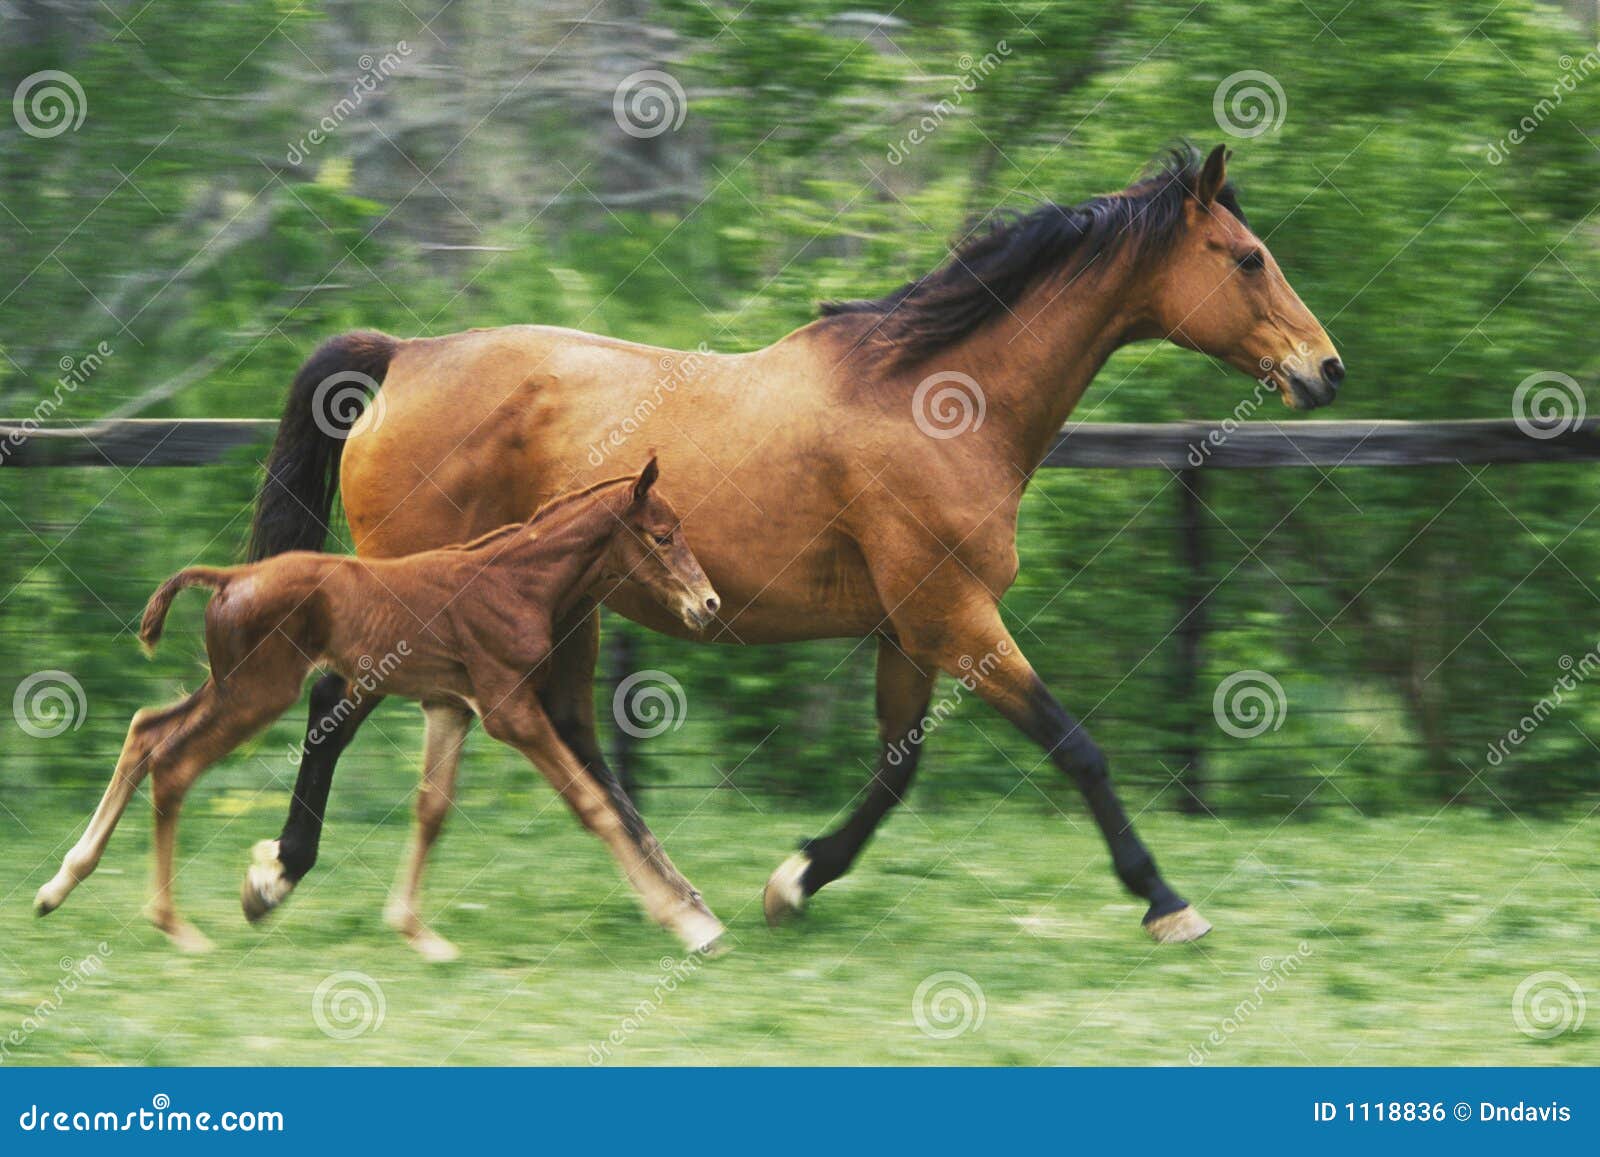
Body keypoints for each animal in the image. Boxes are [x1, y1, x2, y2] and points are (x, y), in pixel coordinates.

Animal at [34, 460, 731, 958]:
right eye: (663, 535)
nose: (709, 604)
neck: (517, 583)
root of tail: (231, 579)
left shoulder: (448, 705)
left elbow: (432, 810)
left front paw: (418, 933)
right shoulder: (509, 710)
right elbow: (594, 806)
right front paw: (688, 926)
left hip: (232, 684)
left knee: (145, 732)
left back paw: (58, 887)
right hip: (258, 692)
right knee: (174, 765)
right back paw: (172, 925)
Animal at [238, 144, 1343, 957]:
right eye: (1246, 256)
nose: (1325, 368)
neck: (937, 398)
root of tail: (404, 358)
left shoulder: (911, 625)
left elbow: (896, 768)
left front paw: (794, 881)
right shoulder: (957, 615)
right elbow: (1076, 746)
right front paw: (1166, 900)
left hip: (563, 604)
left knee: (568, 731)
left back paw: (681, 895)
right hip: (424, 597)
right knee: (335, 700)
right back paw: (275, 874)